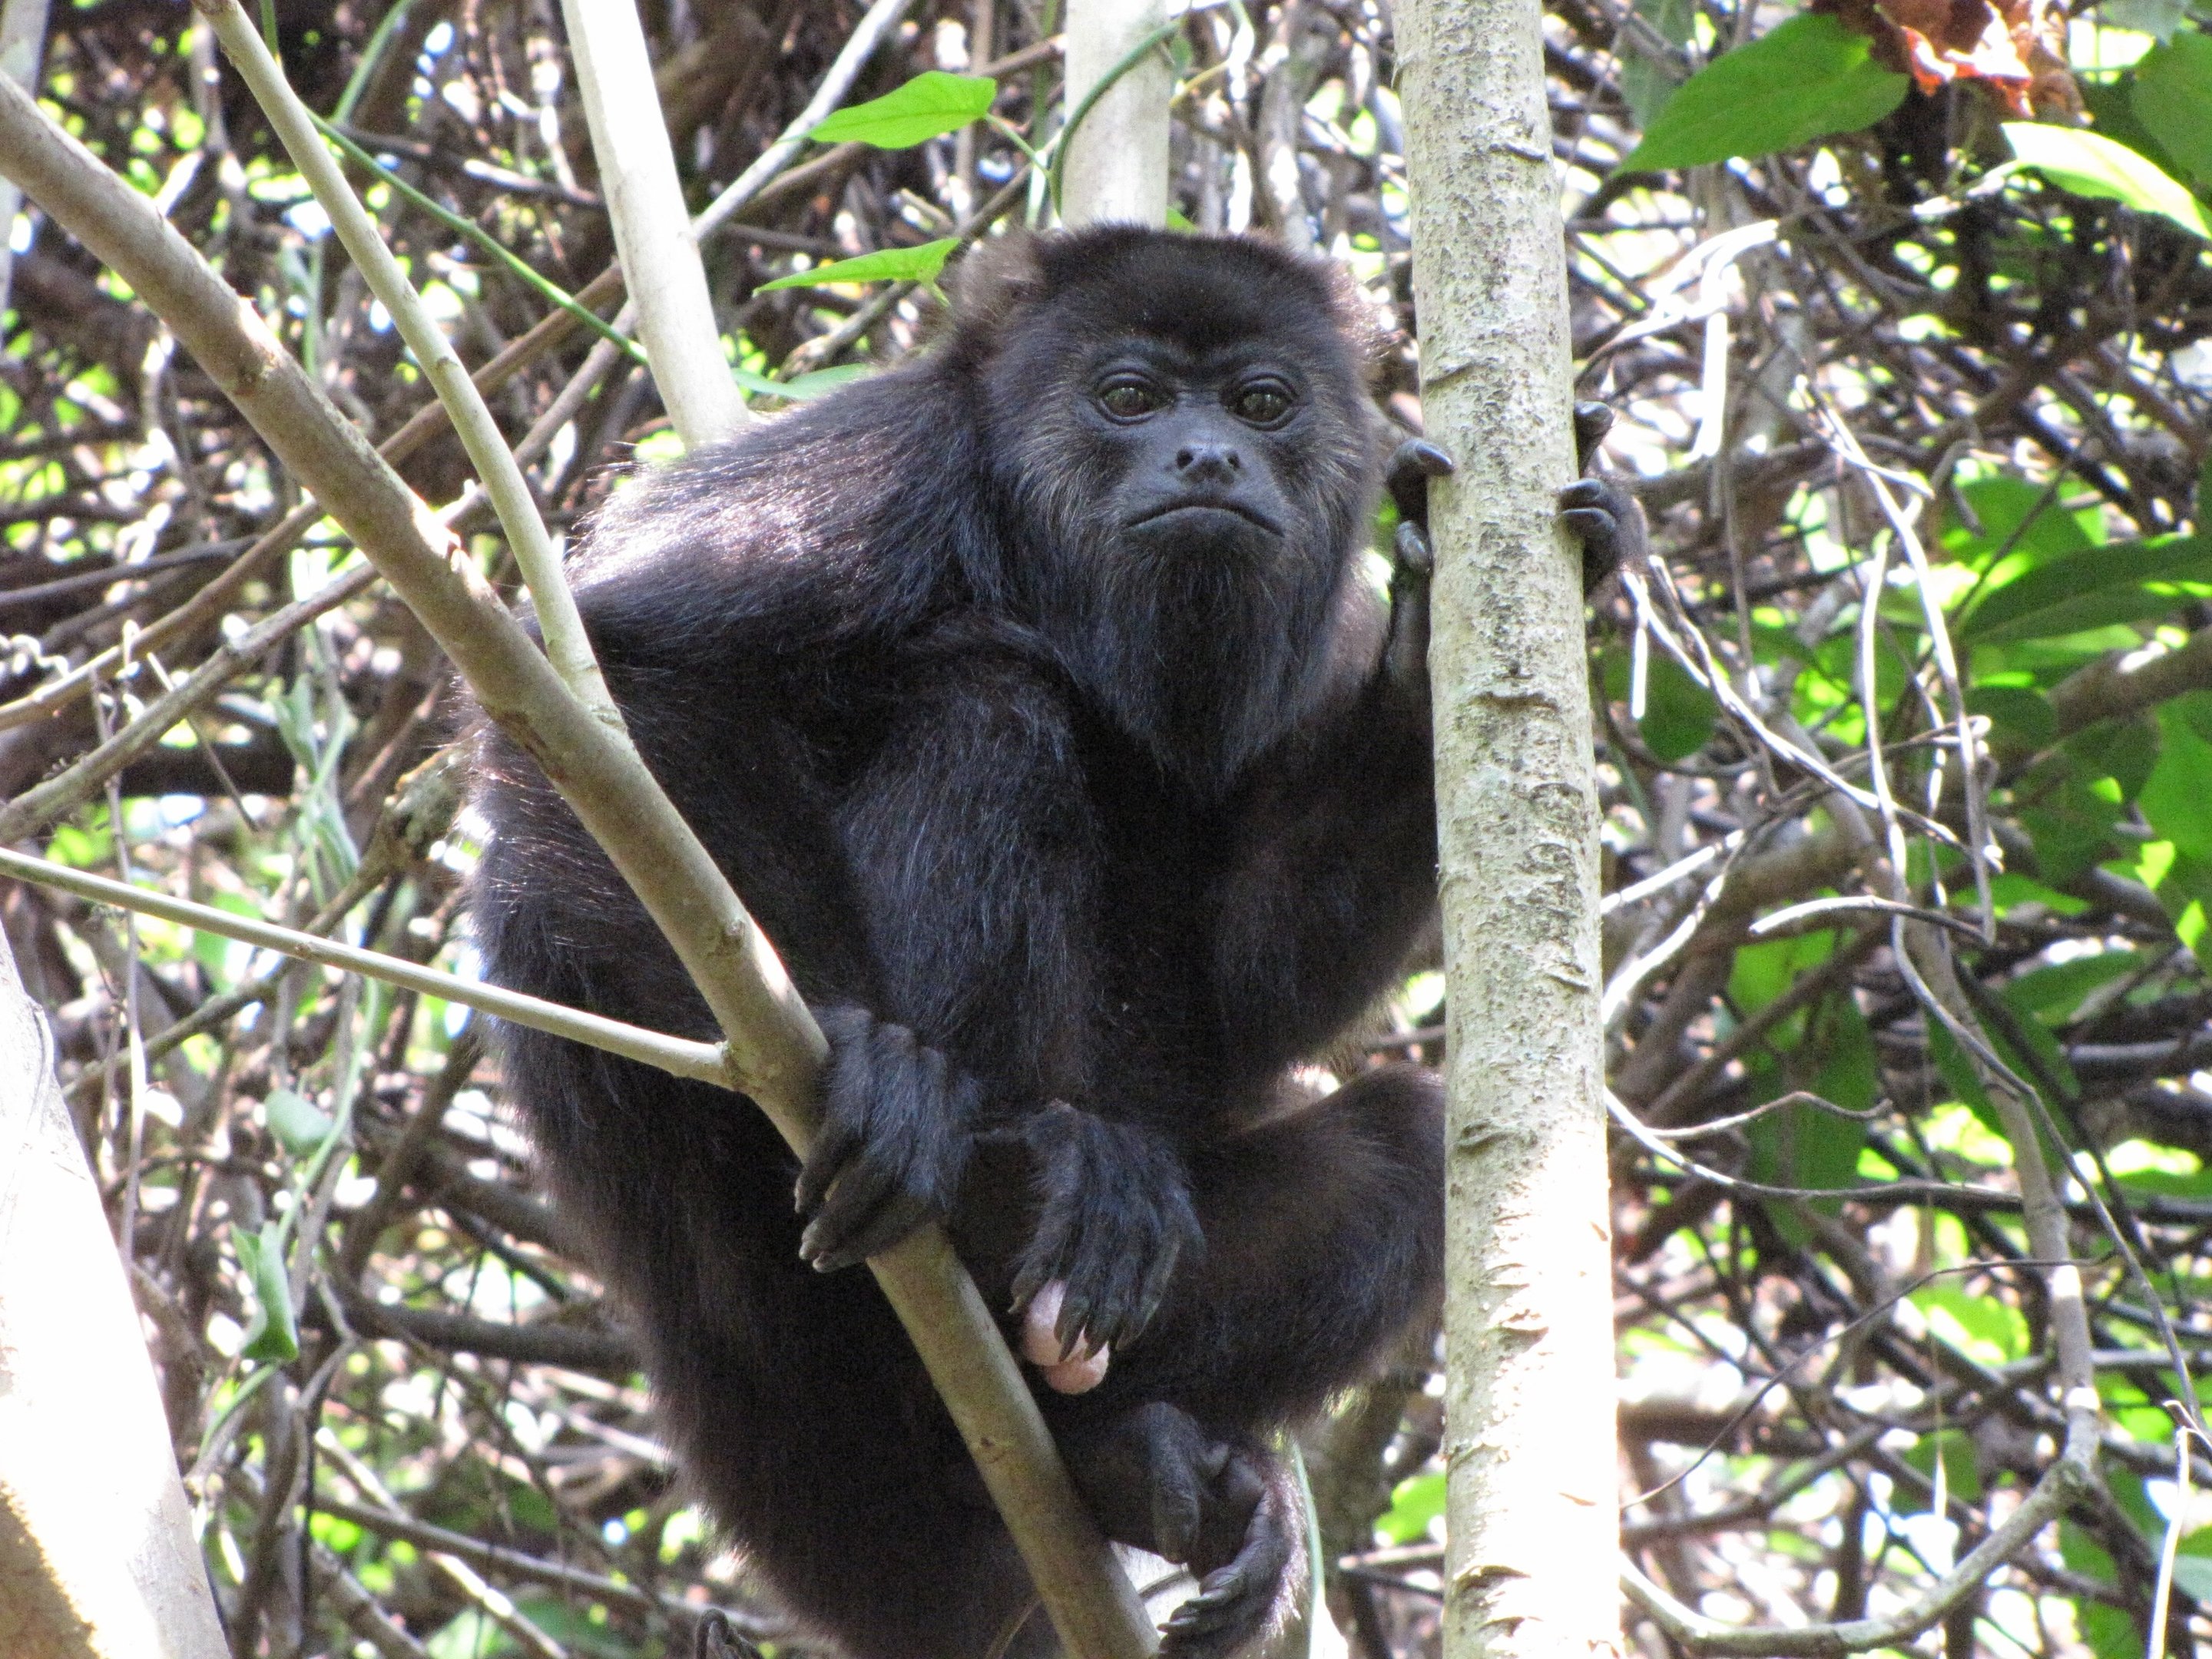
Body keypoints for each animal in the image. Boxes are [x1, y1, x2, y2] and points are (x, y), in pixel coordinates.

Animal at [466, 225, 1642, 1659]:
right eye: (1127, 397)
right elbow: (633, 684)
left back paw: (1115, 1444)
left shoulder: (1328, 641)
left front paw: (1428, 656)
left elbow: (1244, 990)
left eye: (1263, 403)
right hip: (761, 1289)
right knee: (990, 701)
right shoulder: (888, 471)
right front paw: (881, 1061)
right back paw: (1001, 1182)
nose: (1207, 458)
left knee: (1406, 1150)